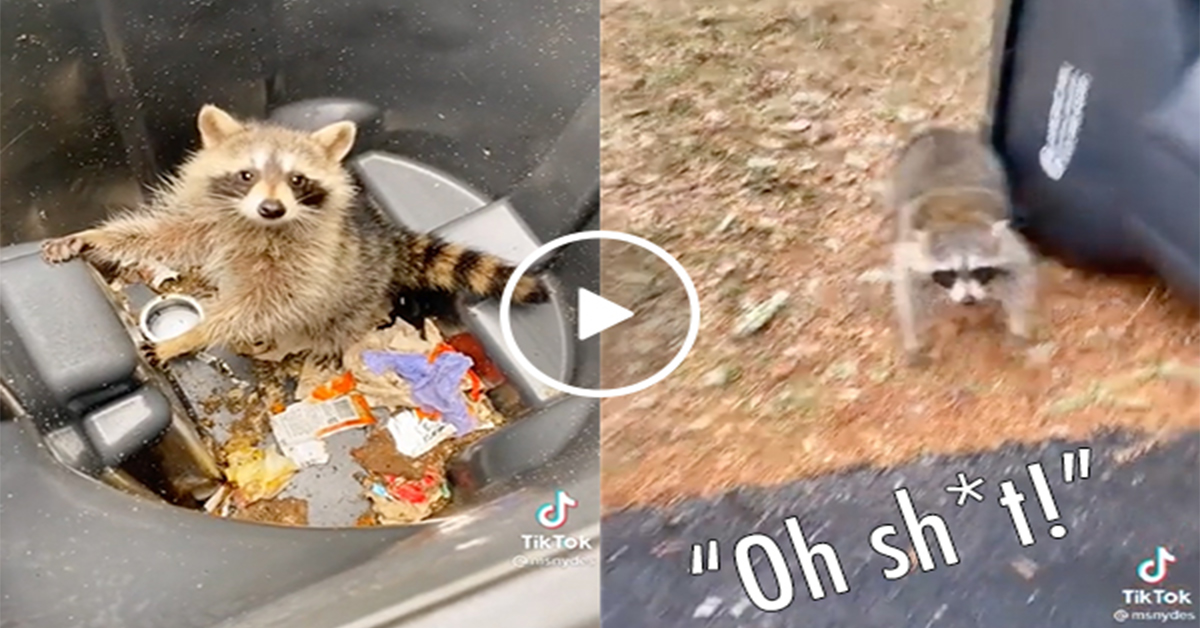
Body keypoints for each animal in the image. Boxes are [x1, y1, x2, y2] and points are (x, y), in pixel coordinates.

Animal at [41, 104, 550, 368]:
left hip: (354, 301)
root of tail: (388, 243)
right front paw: (95, 237)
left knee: (322, 325)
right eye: (246, 175)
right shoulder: (208, 220)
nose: (272, 208)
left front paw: (192, 335)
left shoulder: (303, 266)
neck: (255, 223)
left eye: (298, 180)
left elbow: (260, 305)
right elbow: (166, 236)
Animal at [886, 126, 1038, 366]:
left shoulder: (1003, 239)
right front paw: (913, 336)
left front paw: (1017, 324)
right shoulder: (912, 246)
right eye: (948, 274)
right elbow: (906, 287)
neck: (957, 220)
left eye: (980, 270)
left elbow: (1020, 270)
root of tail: (938, 131)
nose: (968, 300)